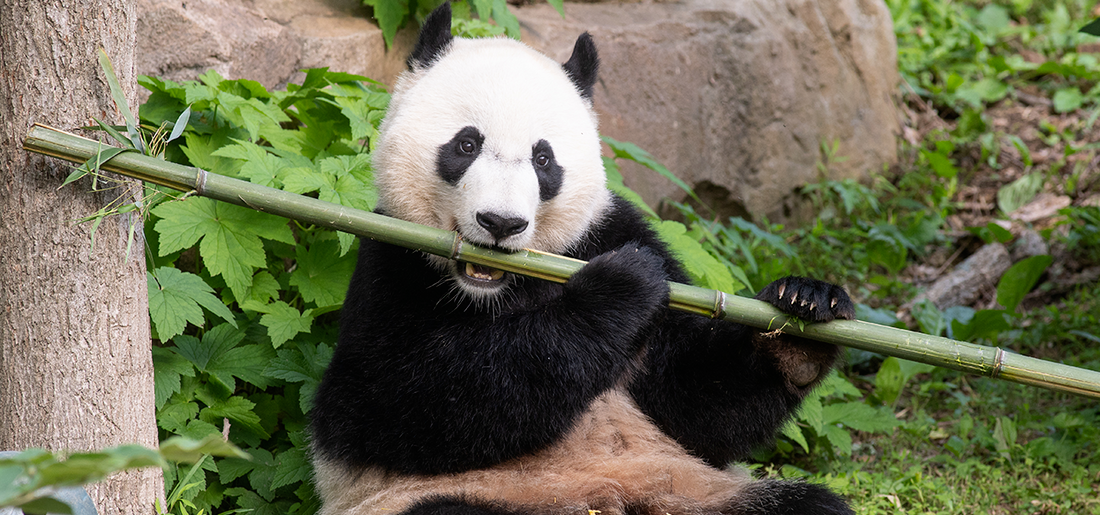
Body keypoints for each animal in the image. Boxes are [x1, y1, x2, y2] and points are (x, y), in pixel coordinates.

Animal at [310, 4, 856, 515]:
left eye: (543, 159)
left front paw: (805, 310)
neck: (502, 289)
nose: (500, 223)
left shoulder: (608, 229)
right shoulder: (389, 261)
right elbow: (389, 404)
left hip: (693, 489)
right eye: (466, 144)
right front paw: (622, 288)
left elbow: (695, 406)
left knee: (811, 505)